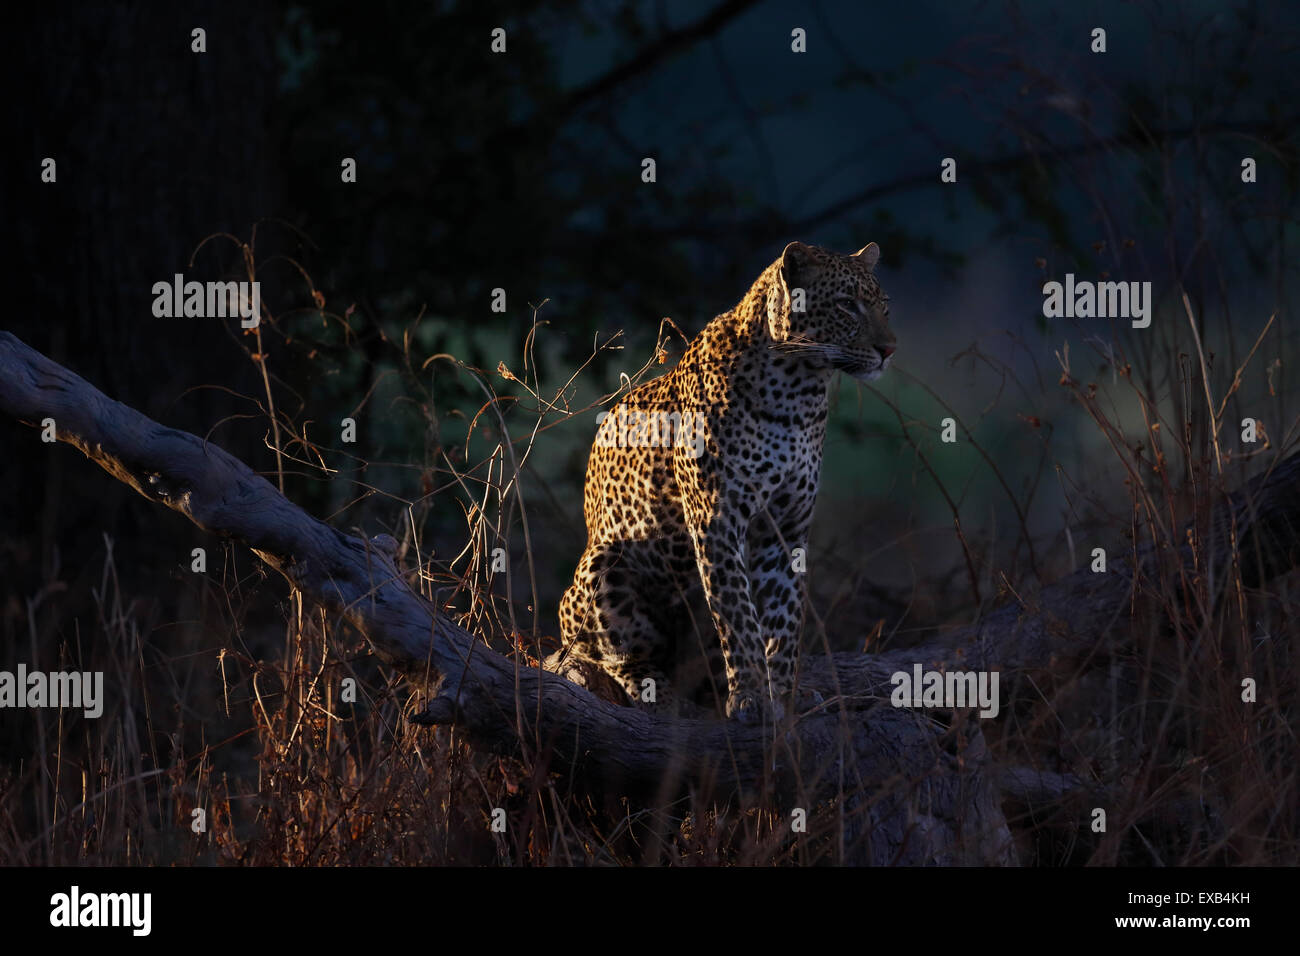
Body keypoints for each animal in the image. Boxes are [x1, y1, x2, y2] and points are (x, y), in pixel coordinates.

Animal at [556, 240, 896, 722]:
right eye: (848, 304)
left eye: (884, 306)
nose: (889, 349)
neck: (799, 390)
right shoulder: (716, 519)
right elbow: (738, 616)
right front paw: (752, 696)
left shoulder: (786, 529)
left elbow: (783, 618)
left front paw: (784, 696)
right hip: (603, 565)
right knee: (612, 657)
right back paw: (663, 696)